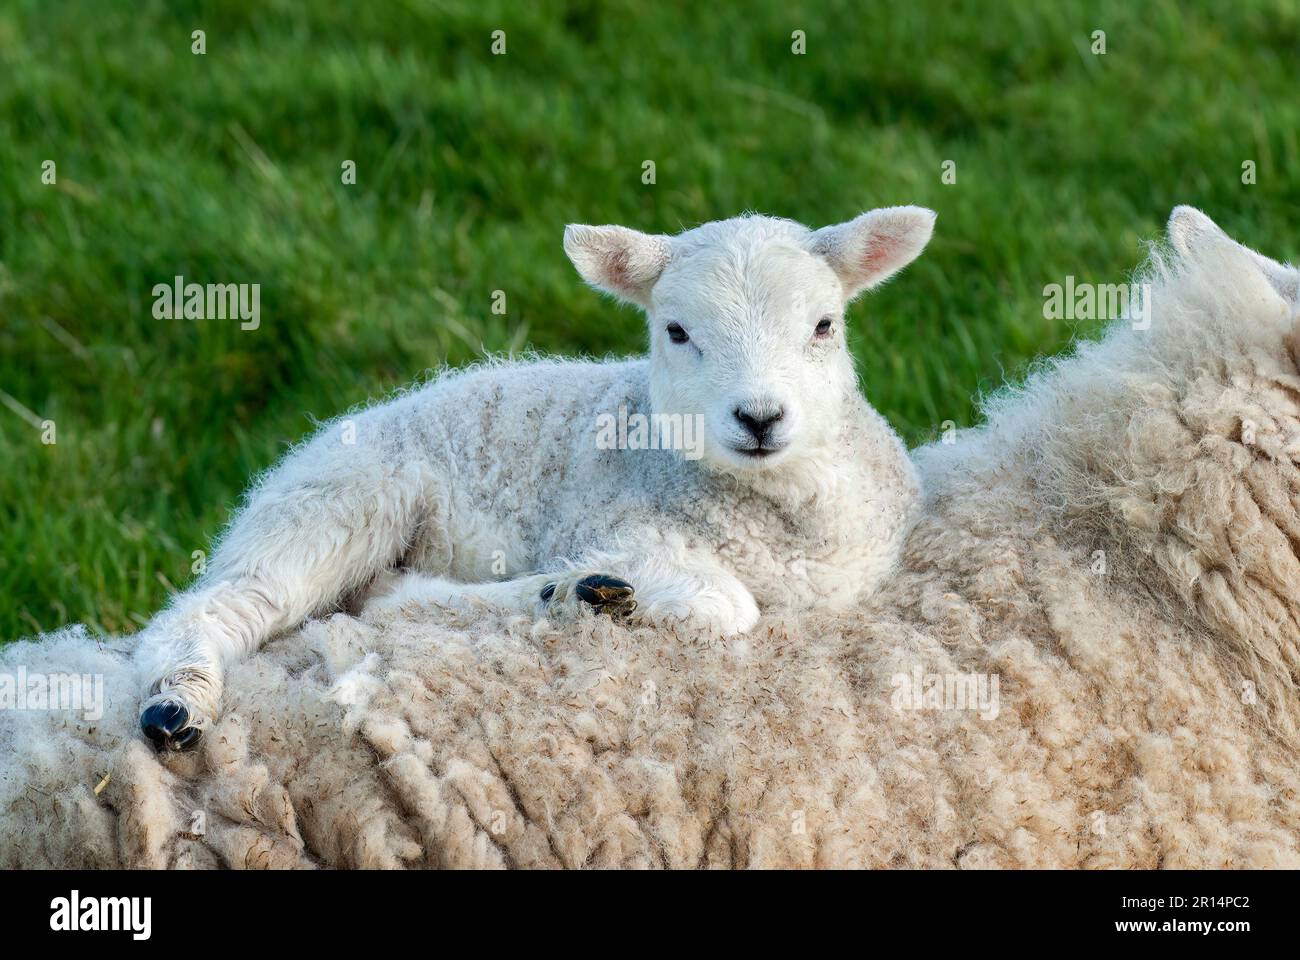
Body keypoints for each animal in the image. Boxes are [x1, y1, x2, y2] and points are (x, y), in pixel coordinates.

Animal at [132, 207, 936, 752]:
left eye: (826, 325)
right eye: (675, 331)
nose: (760, 417)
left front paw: (593, 591)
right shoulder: (615, 522)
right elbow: (729, 606)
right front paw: (648, 593)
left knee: (386, 598)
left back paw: (569, 592)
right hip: (337, 503)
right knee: (220, 607)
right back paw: (175, 707)